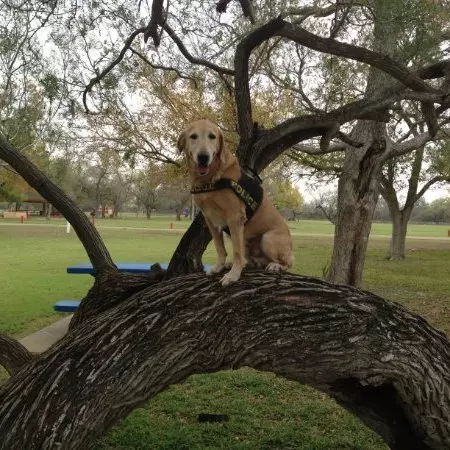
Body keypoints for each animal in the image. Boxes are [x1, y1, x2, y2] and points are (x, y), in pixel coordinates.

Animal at [178, 119, 294, 284]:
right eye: (193, 136)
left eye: (212, 136)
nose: (203, 157)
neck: (211, 179)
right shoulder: (210, 220)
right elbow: (220, 248)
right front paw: (219, 267)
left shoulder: (235, 218)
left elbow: (237, 252)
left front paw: (233, 275)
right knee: (253, 259)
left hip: (267, 238)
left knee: (288, 262)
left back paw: (275, 266)